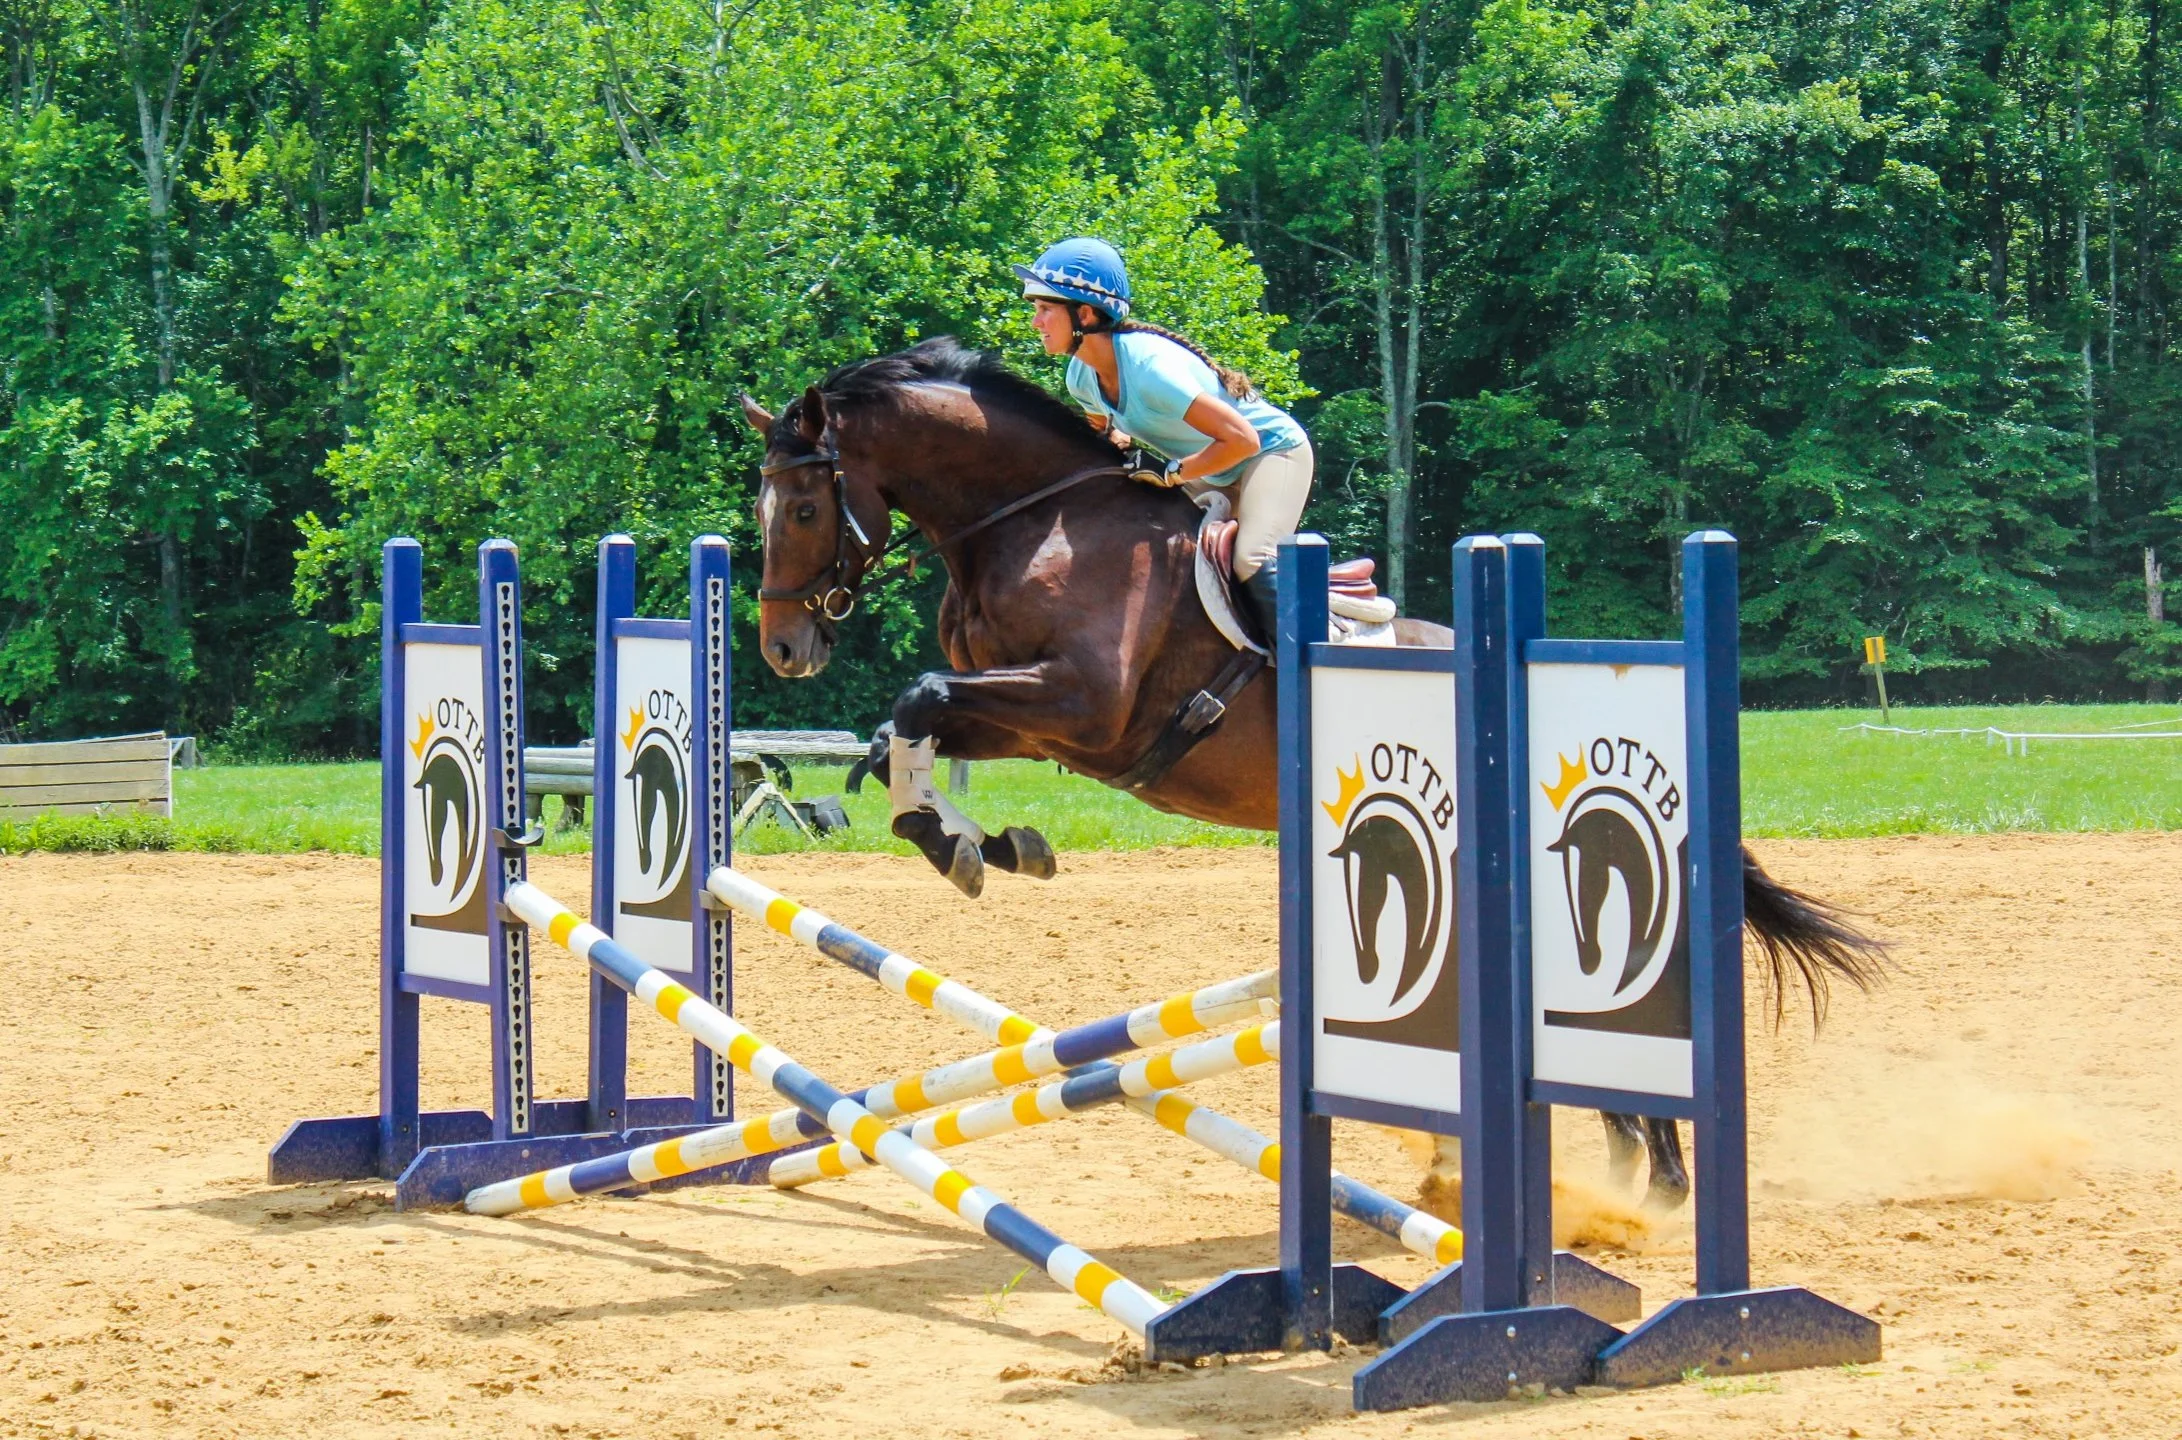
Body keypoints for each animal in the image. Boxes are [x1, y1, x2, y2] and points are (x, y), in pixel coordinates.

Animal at [740, 337, 1884, 1210]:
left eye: (801, 510)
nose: (783, 650)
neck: (1028, 520)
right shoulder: (1038, 727)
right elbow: (906, 733)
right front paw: (980, 843)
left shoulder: (1085, 710)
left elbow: (918, 697)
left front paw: (975, 847)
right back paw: (1593, 1175)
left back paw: (1650, 1186)